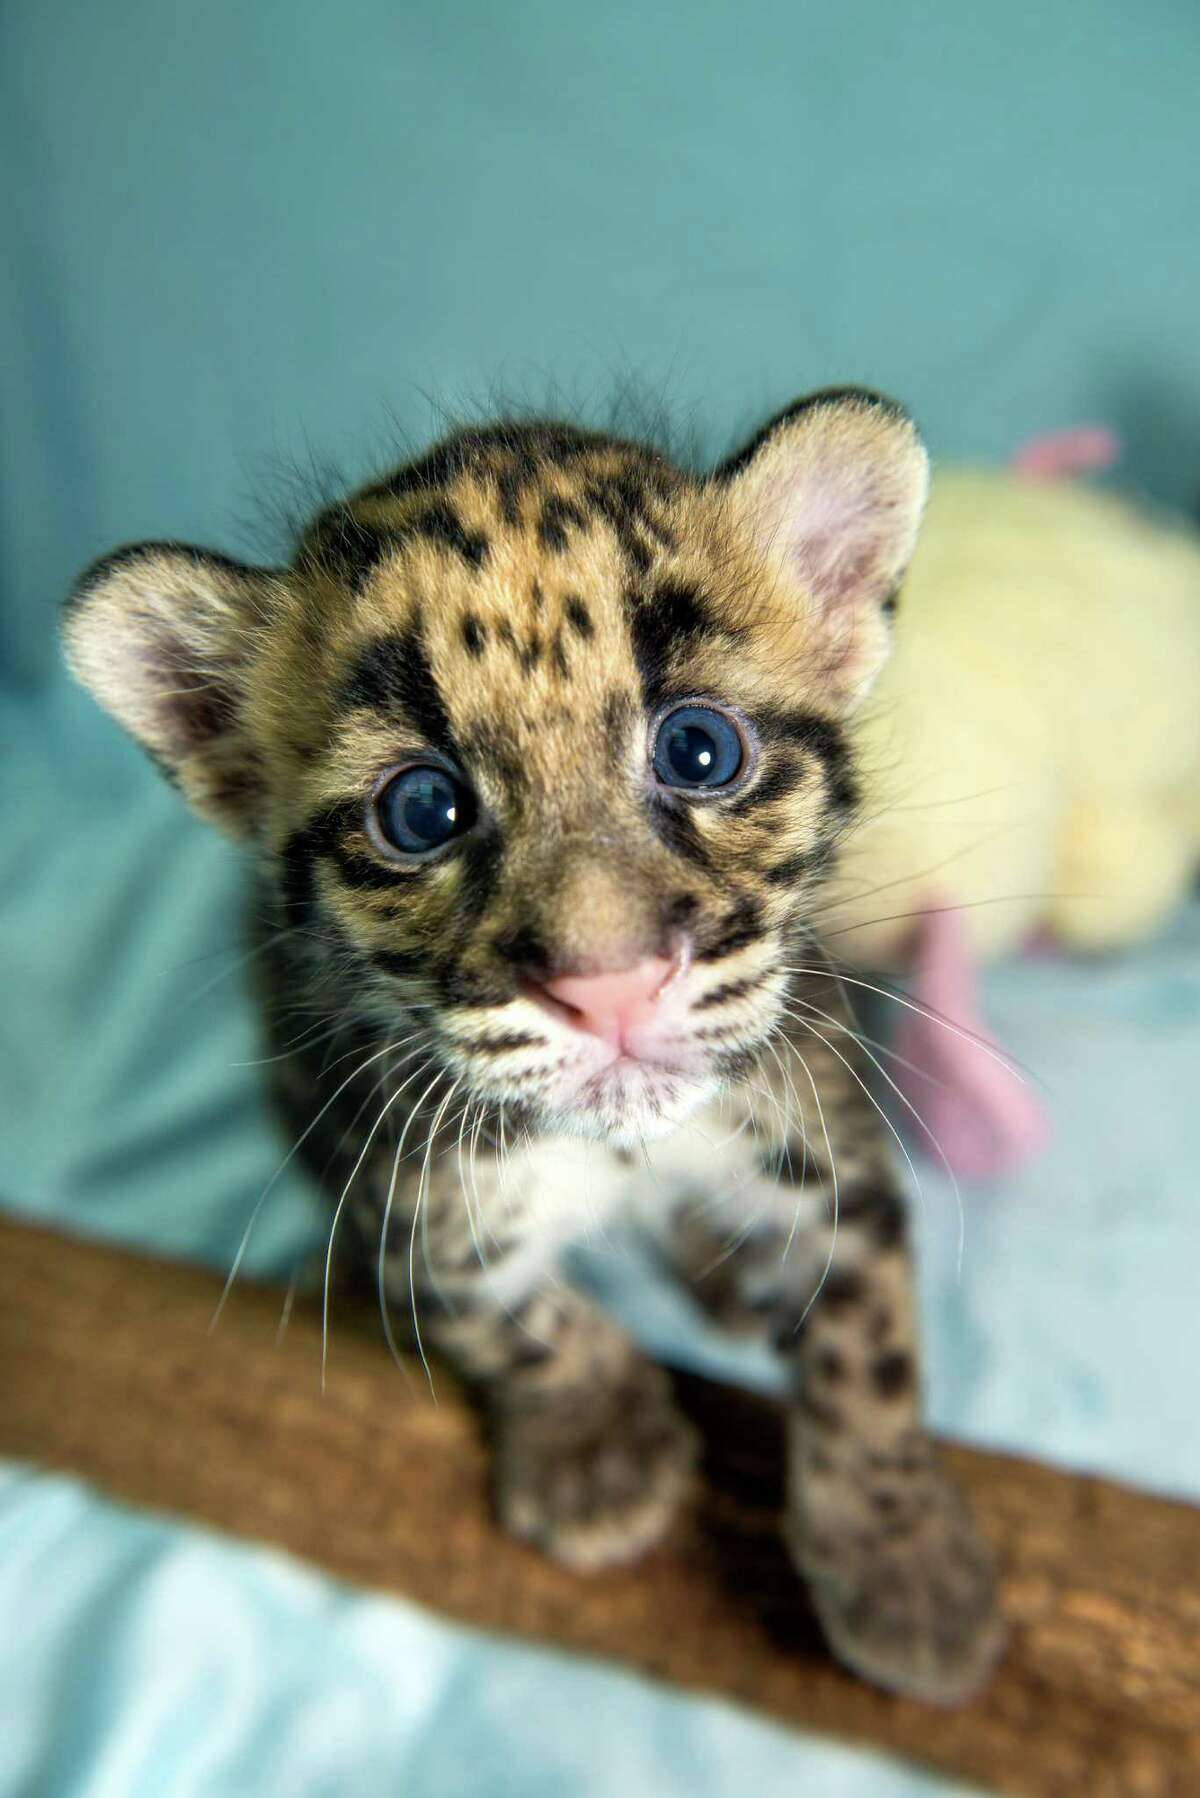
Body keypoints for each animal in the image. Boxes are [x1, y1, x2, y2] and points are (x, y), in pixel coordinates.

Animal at [63, 386, 1004, 1703]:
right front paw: (601, 1452)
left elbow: (868, 1343)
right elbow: (503, 1314)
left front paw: (905, 1560)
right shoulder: (402, 1187)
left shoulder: (823, 1128)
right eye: (422, 809)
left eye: (700, 749)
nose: (608, 986)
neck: (621, 1157)